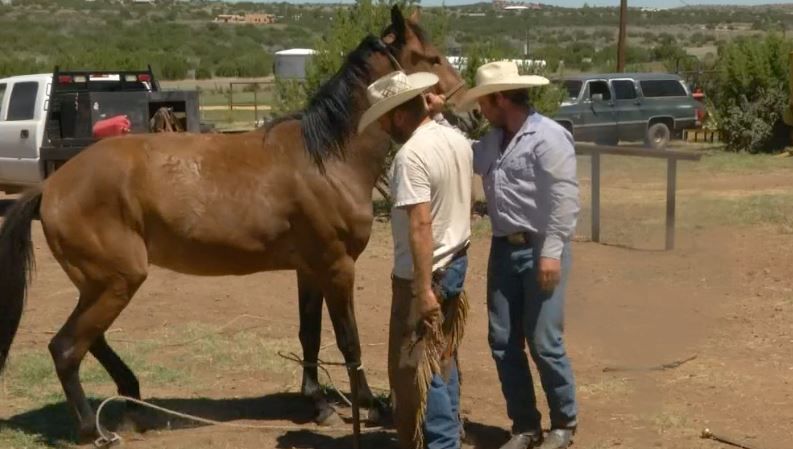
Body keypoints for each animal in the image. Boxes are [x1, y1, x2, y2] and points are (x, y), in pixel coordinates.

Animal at [0, 6, 468, 443]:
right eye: (431, 58)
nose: (468, 112)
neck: (327, 159)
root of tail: (52, 186)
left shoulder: (310, 270)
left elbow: (310, 334)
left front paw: (318, 403)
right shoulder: (337, 267)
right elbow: (347, 339)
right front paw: (369, 405)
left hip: (99, 284)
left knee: (89, 341)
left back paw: (132, 402)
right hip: (116, 281)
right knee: (66, 348)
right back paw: (92, 429)